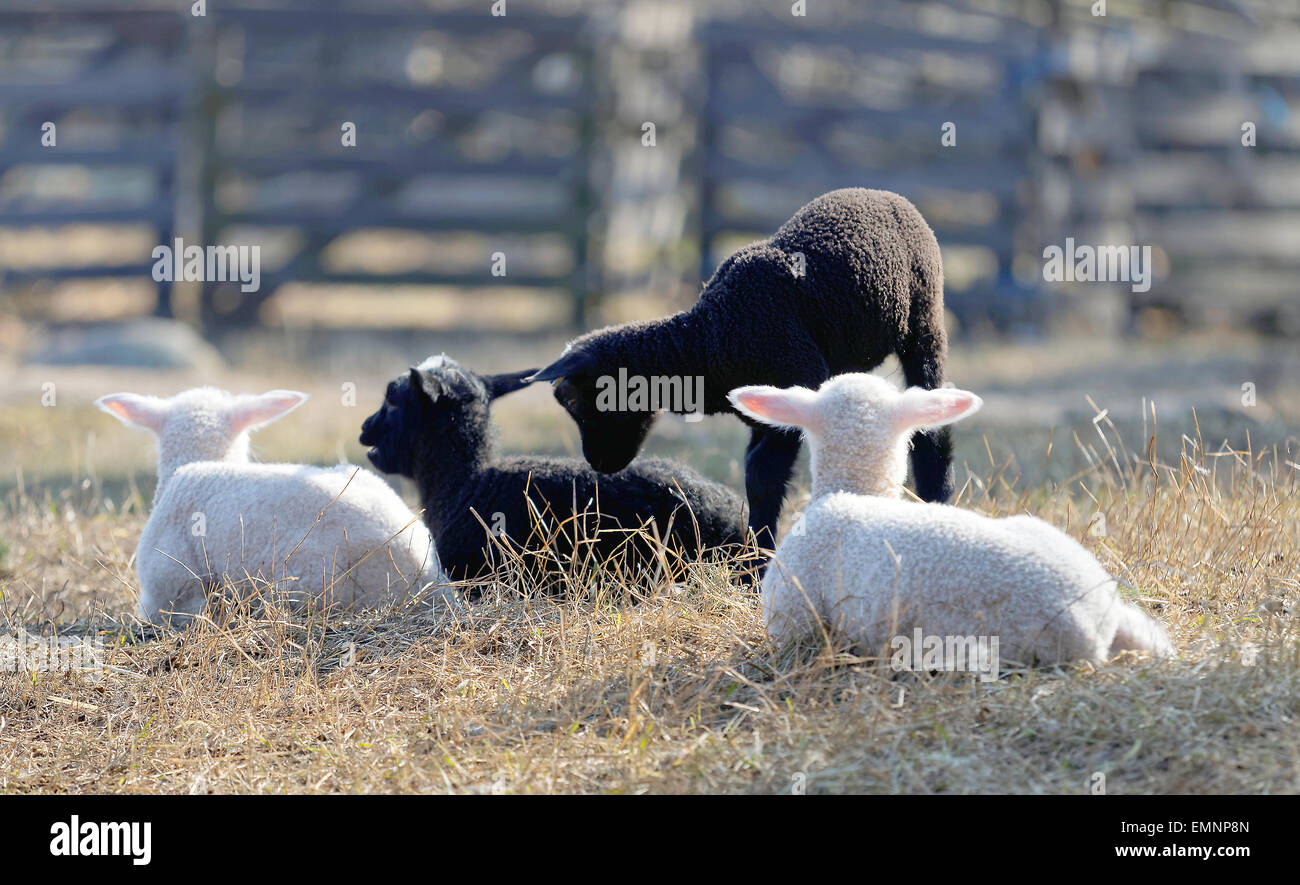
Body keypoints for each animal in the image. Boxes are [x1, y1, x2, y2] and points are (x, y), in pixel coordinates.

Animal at [530, 187, 953, 550]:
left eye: (582, 404)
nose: (597, 464)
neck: (706, 341)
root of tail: (884, 194)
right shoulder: (759, 413)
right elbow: (754, 475)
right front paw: (753, 556)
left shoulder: (797, 386)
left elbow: (762, 476)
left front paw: (758, 565)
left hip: (925, 323)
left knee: (933, 430)